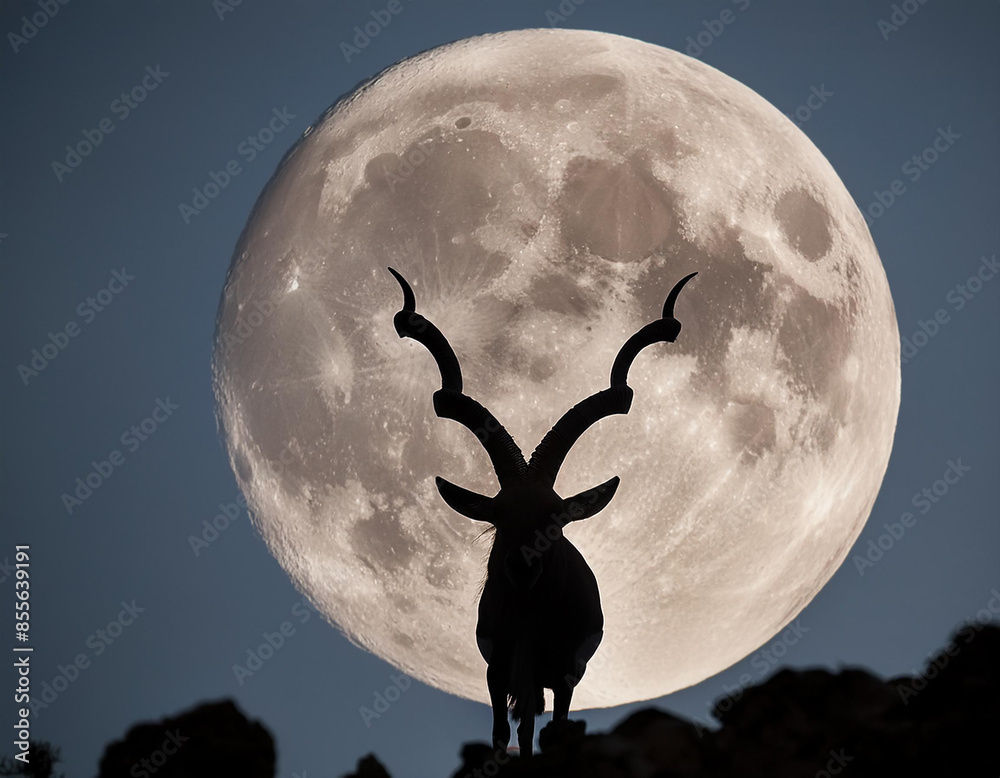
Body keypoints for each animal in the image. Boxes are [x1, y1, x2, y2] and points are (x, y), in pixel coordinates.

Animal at [388, 267, 697, 755]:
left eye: (556, 518)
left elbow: (552, 730)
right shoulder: (500, 671)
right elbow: (503, 733)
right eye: (498, 515)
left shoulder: (564, 674)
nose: (521, 565)